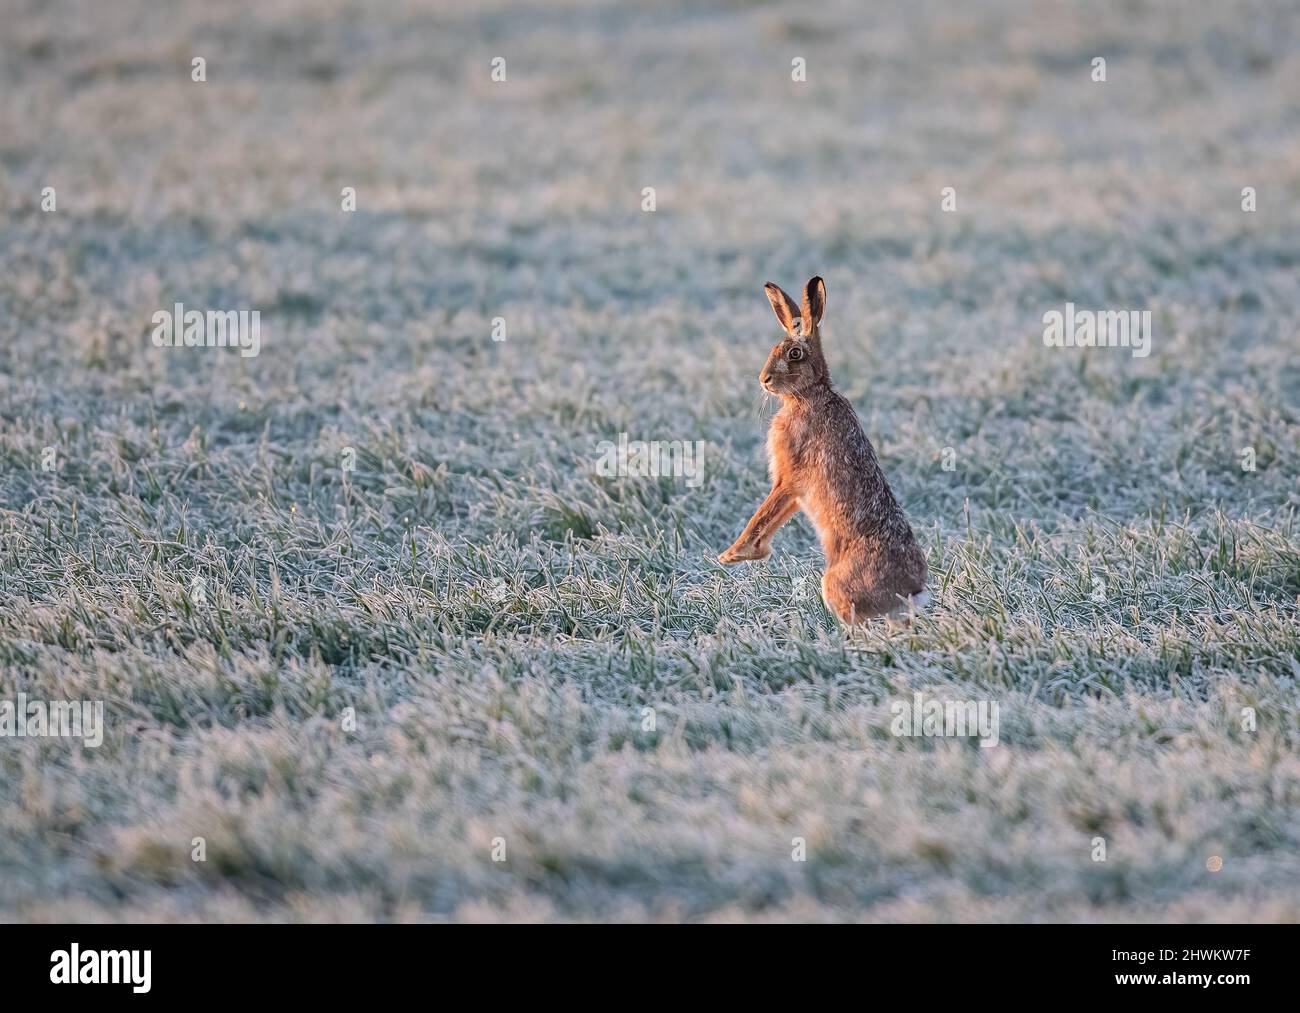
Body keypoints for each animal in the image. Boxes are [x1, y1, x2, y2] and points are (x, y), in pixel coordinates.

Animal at [718, 276, 929, 624]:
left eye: (794, 353)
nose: (763, 380)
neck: (808, 394)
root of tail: (911, 590)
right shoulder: (792, 491)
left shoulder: (788, 478)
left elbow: (763, 513)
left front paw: (732, 556)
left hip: (835, 586)